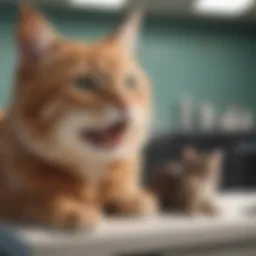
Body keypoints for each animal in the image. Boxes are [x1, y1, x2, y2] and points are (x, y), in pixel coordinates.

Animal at [0, 3, 156, 228]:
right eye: (84, 83)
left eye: (130, 82)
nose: (126, 104)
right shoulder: (14, 199)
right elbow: (36, 199)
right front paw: (68, 207)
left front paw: (127, 197)